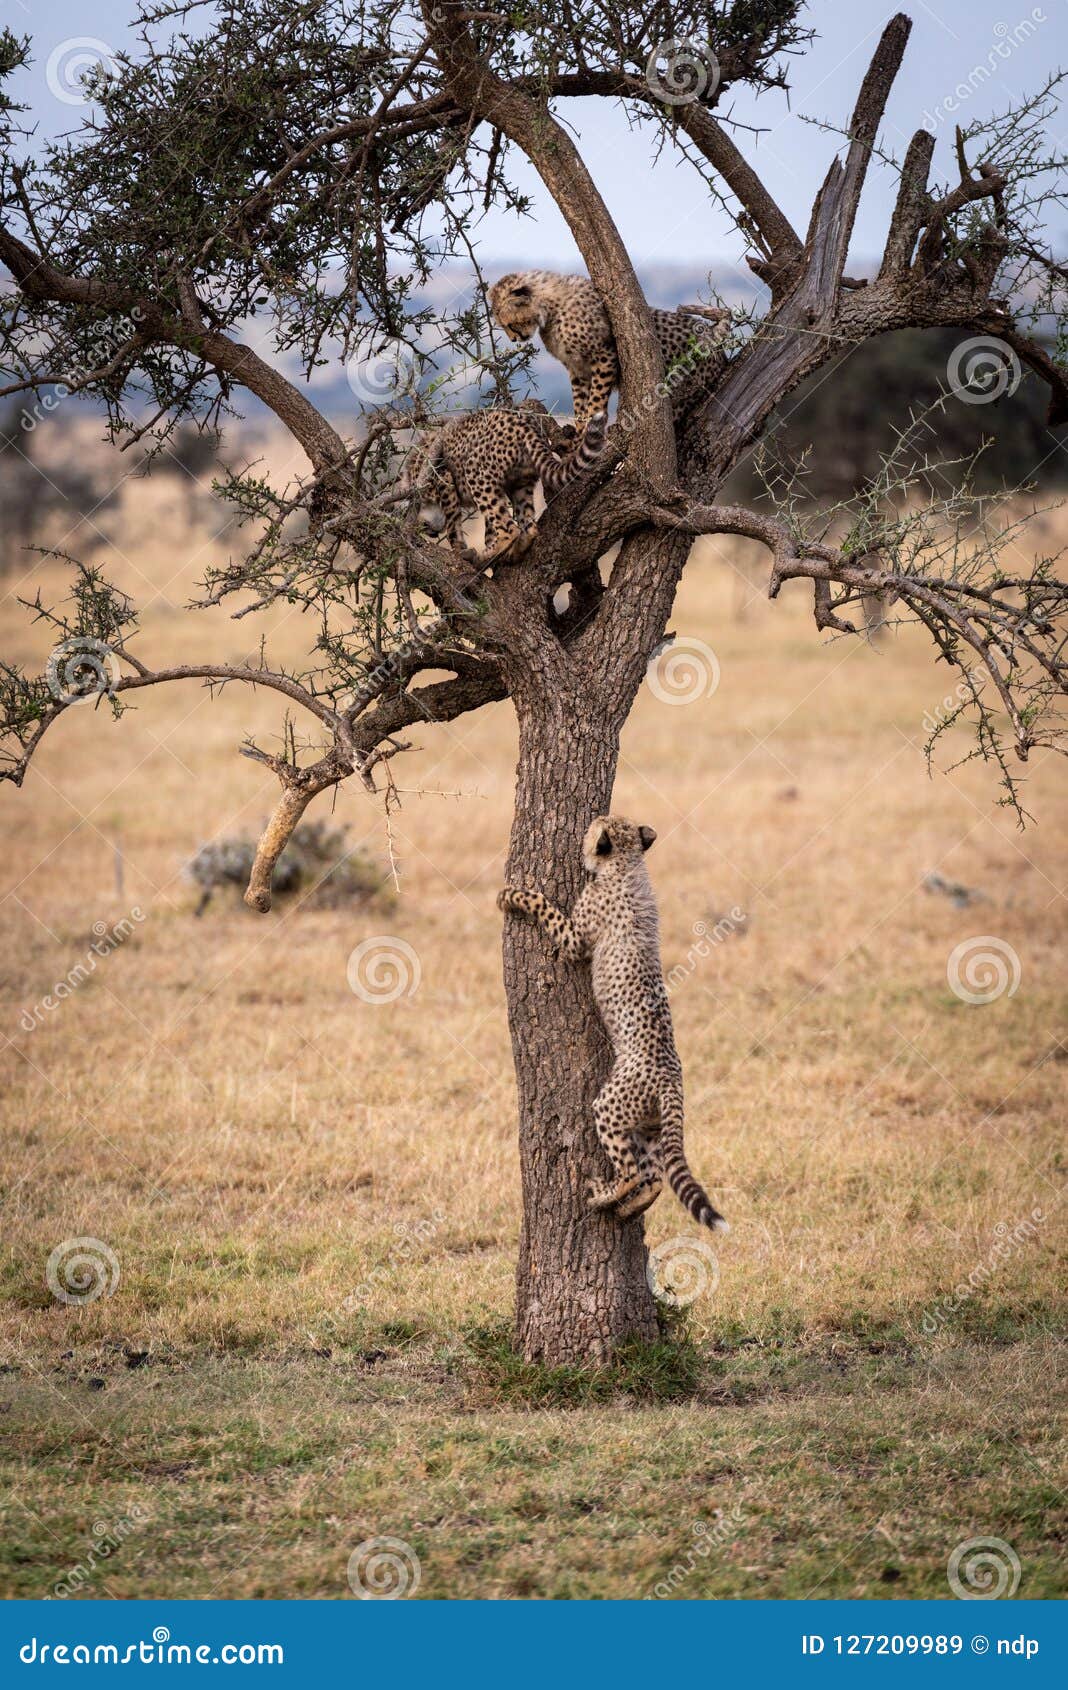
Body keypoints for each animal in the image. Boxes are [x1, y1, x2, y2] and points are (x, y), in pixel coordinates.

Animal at [411, 399, 607, 562]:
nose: (431, 532)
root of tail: (524, 423)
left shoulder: (443, 477)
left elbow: (453, 523)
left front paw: (460, 551)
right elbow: (490, 528)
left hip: (476, 472)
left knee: (510, 530)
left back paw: (483, 556)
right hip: (520, 482)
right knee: (528, 527)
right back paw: (512, 551)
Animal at [488, 271, 731, 430]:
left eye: (510, 324)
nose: (514, 339)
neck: (550, 308)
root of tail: (713, 340)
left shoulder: (604, 356)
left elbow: (595, 403)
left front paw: (587, 436)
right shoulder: (577, 369)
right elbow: (580, 406)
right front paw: (577, 441)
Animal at [498, 814, 729, 1231]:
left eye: (596, 826)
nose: (588, 827)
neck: (628, 862)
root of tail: (671, 1077)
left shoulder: (576, 938)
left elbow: (543, 905)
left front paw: (511, 895)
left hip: (610, 1104)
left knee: (633, 1172)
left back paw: (604, 1195)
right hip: (650, 1127)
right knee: (654, 1177)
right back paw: (627, 1208)